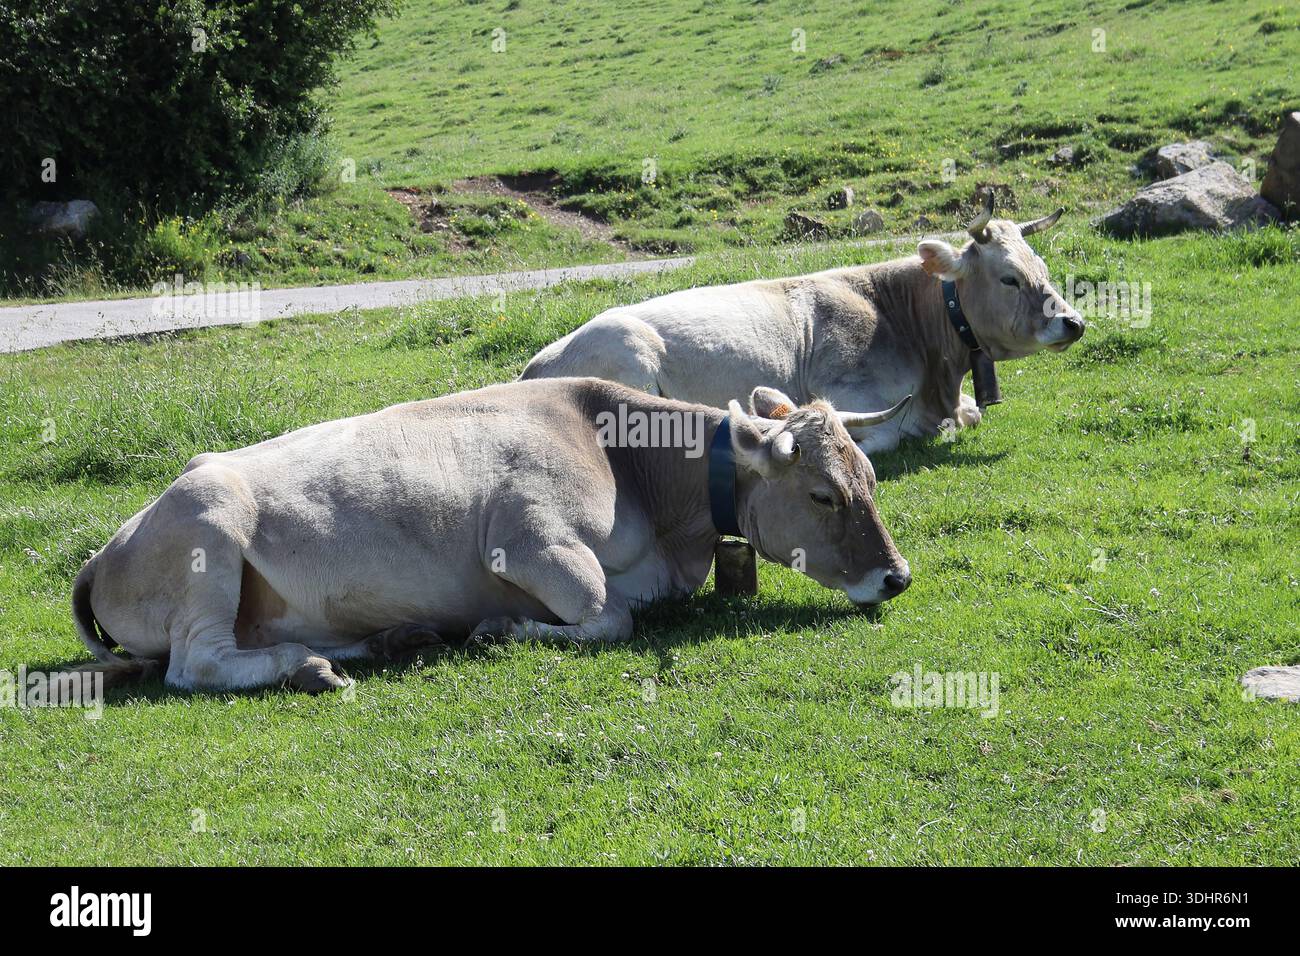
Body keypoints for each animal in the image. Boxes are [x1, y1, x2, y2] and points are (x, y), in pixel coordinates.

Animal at [67, 377, 913, 693]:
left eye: (872, 478)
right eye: (823, 494)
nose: (897, 577)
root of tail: (105, 550)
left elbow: (621, 610)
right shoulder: (532, 541)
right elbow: (610, 615)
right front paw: (501, 628)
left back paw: (387, 641)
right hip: (207, 522)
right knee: (197, 666)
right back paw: (307, 667)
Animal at [521, 192, 1085, 454]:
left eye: (1041, 267)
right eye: (1010, 278)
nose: (1073, 323)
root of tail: (534, 365)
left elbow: (969, 416)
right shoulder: (851, 395)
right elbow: (890, 434)